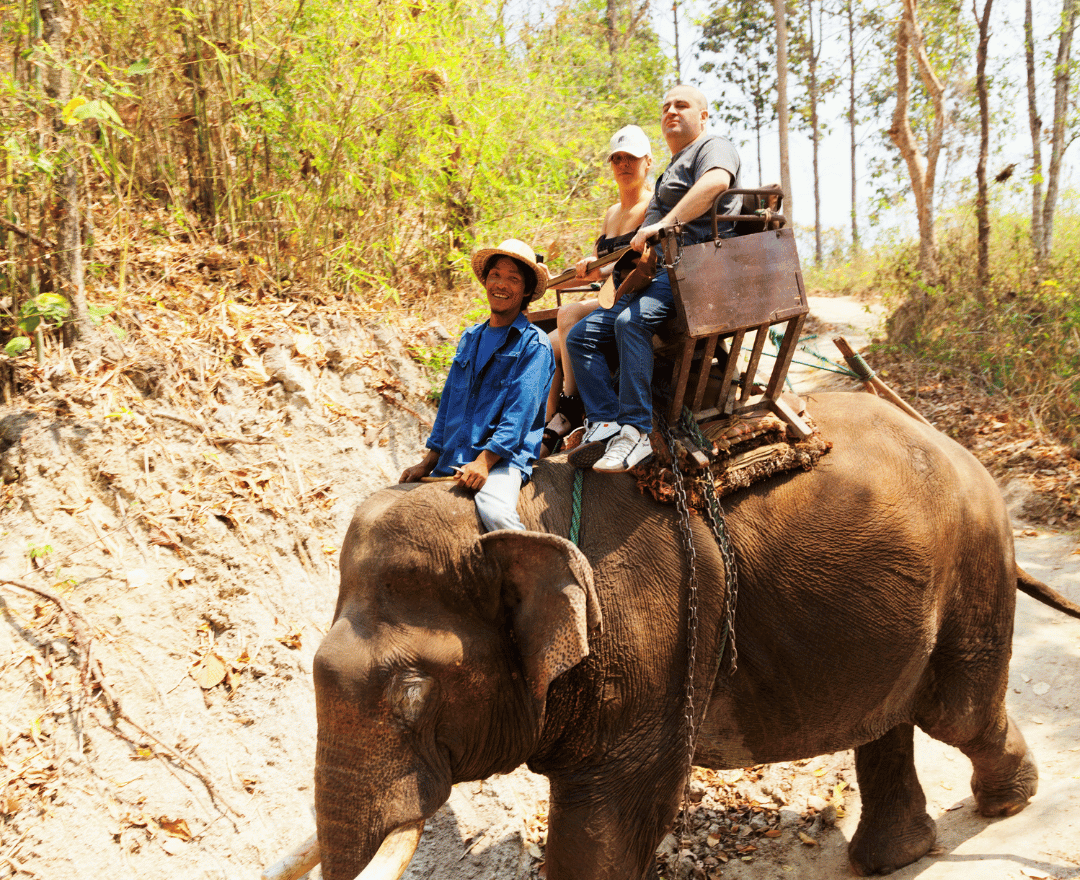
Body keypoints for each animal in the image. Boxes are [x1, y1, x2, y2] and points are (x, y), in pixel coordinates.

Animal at [310, 390, 1080, 880]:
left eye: (412, 692)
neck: (517, 512)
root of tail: (958, 445)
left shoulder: (654, 633)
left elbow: (615, 807)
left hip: (971, 562)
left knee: (958, 712)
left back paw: (1008, 803)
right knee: (887, 720)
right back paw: (895, 858)